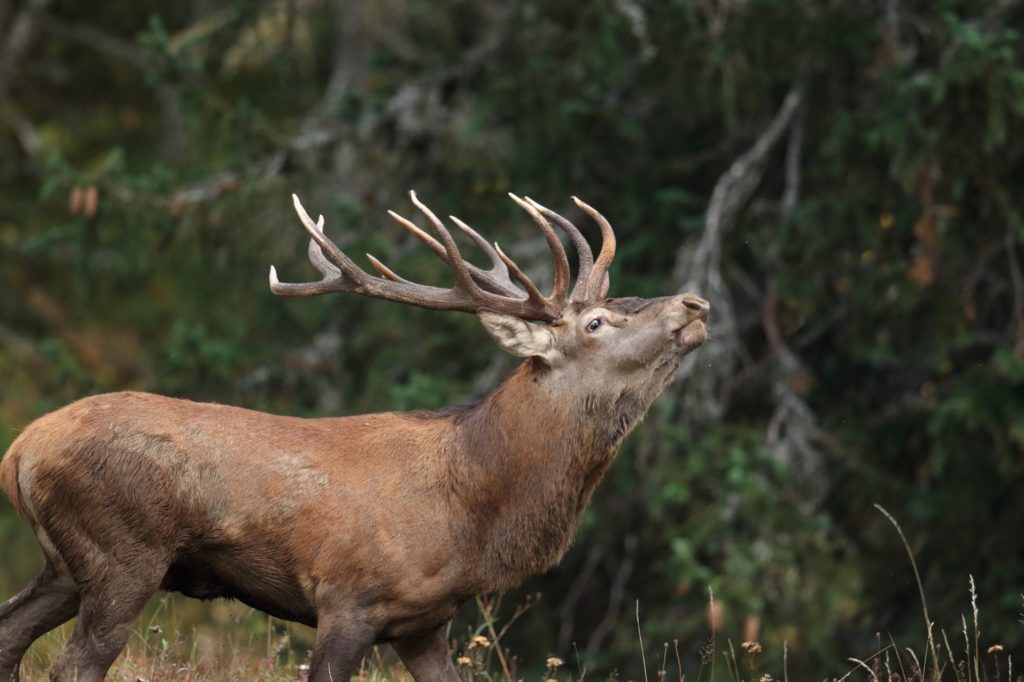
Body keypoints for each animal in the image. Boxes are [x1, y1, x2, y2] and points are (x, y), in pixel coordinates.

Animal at [0, 190, 709, 682]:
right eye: (595, 323)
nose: (694, 303)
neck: (473, 507)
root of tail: (20, 450)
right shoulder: (348, 599)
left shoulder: (426, 623)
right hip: (122, 552)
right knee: (73, 665)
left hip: (66, 563)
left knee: (10, 634)